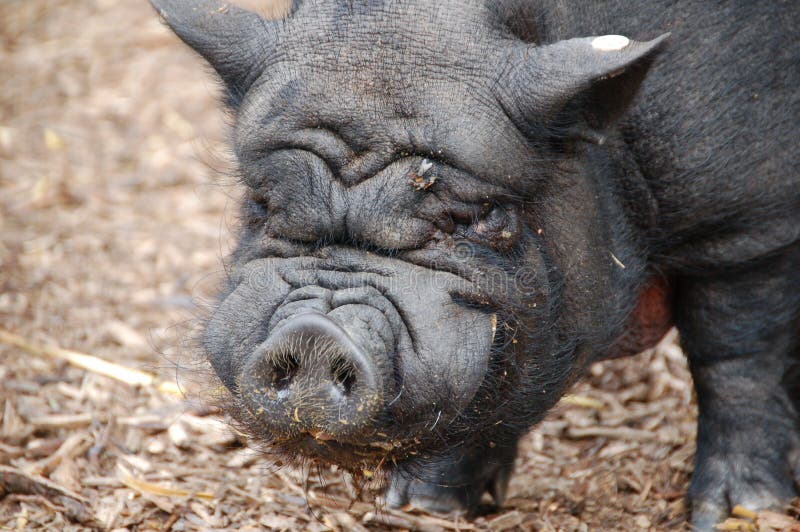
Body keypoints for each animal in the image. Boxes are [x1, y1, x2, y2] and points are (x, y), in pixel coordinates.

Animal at [150, 0, 800, 529]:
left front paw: (740, 513)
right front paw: (423, 507)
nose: (313, 333)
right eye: (262, 202)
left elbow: (734, 357)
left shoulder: (750, 225)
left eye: (481, 216)